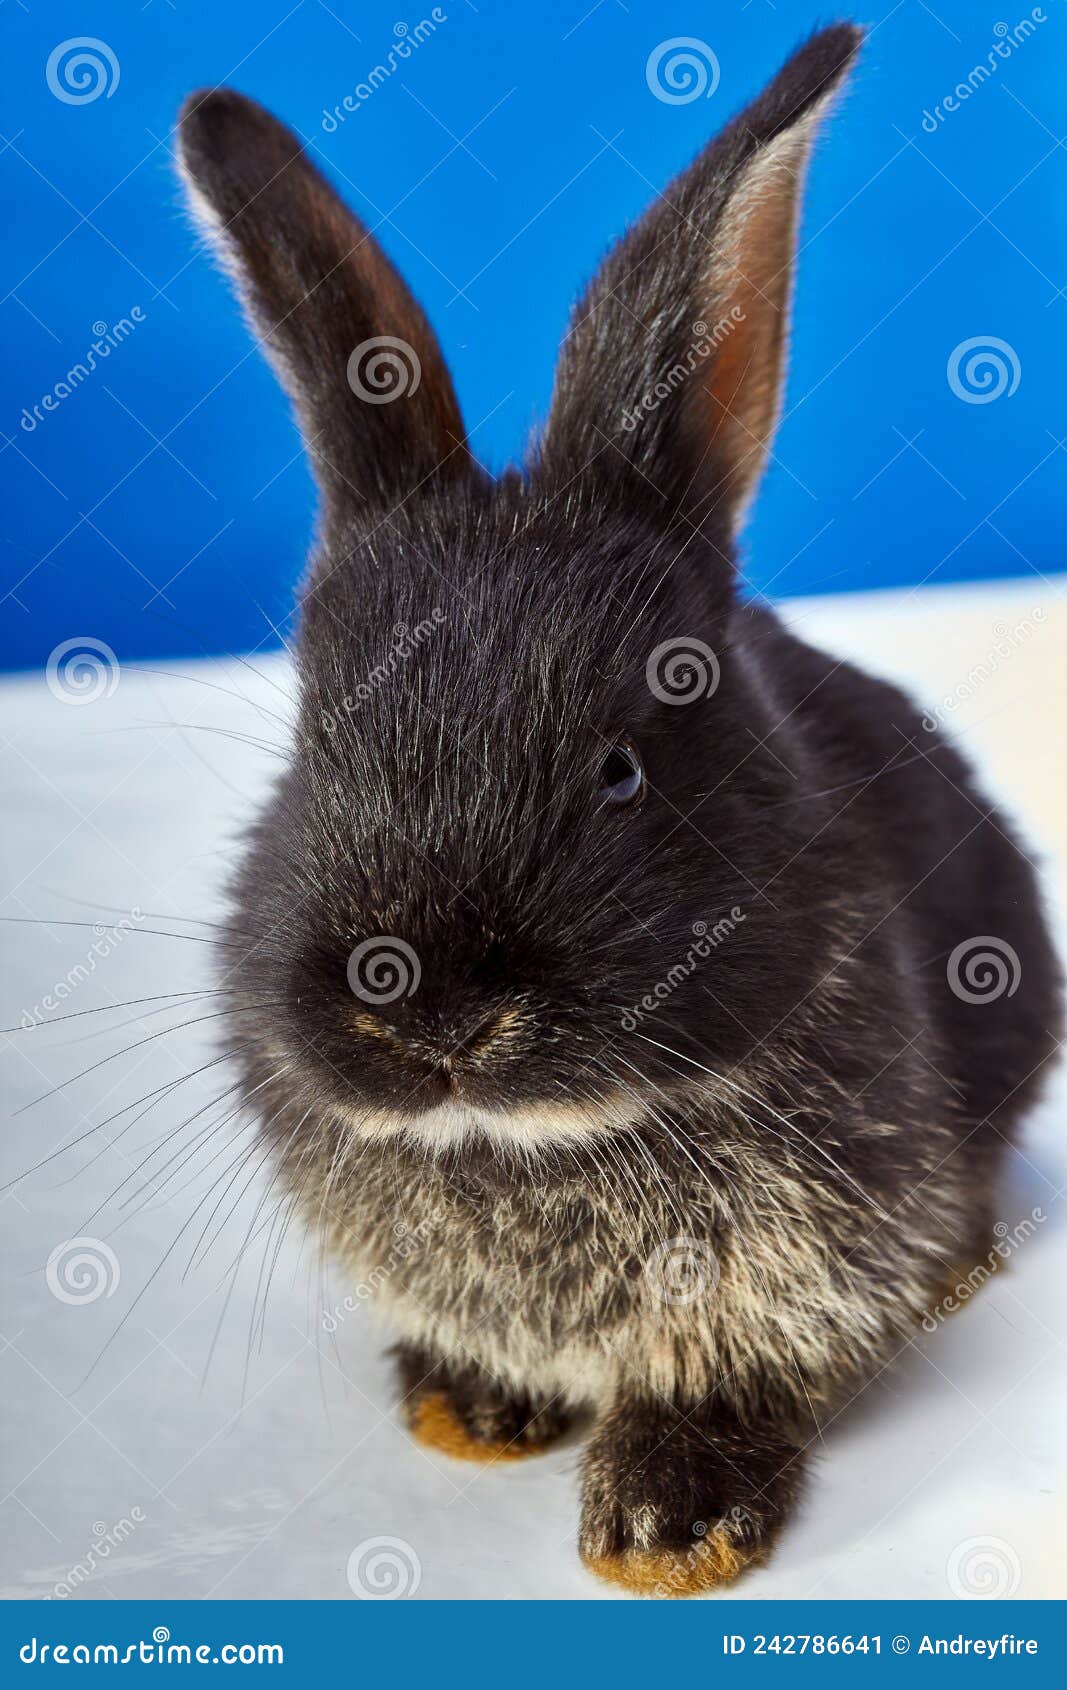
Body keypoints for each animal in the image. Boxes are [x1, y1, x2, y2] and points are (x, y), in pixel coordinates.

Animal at [177, 22, 1061, 1597]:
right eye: (316, 743)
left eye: (620, 771)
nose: (427, 1006)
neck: (524, 1143)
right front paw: (467, 1410)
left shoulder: (813, 1260)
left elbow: (738, 1370)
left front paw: (664, 1522)